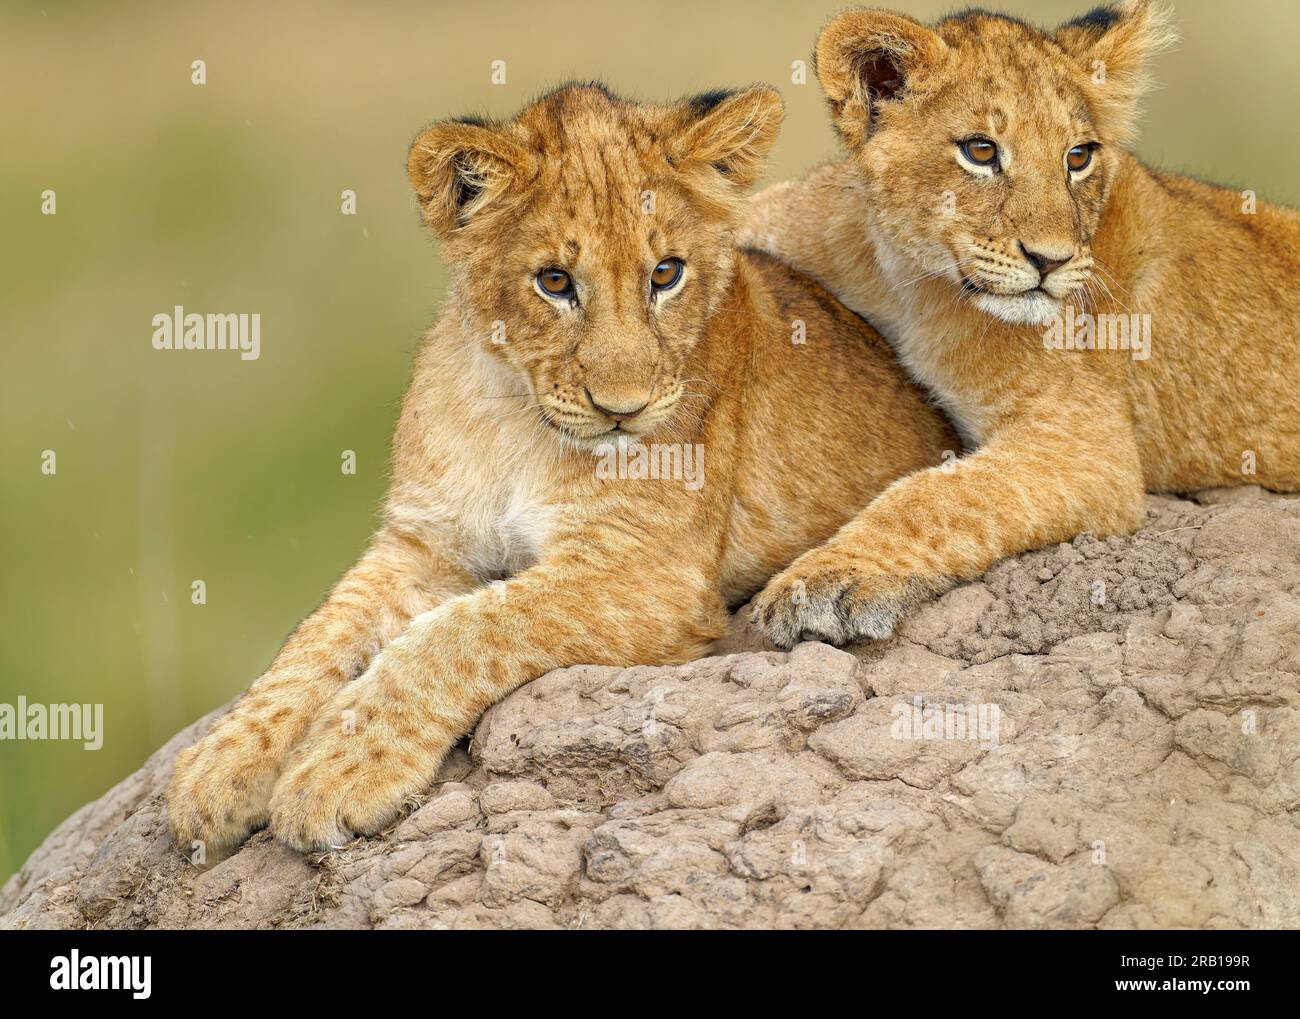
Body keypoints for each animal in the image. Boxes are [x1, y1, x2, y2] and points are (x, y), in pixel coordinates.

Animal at [166, 83, 956, 854]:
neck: (515, 418)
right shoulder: (424, 545)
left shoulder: (648, 573)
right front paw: (216, 767)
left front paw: (338, 769)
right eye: (553, 281)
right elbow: (316, 639)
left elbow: (462, 633)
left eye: (665, 273)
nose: (623, 409)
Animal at [741, 0, 1300, 649]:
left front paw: (825, 580)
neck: (905, 280)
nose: (1051, 261)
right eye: (981, 151)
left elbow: (938, 495)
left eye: (1078, 156)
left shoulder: (1089, 449)